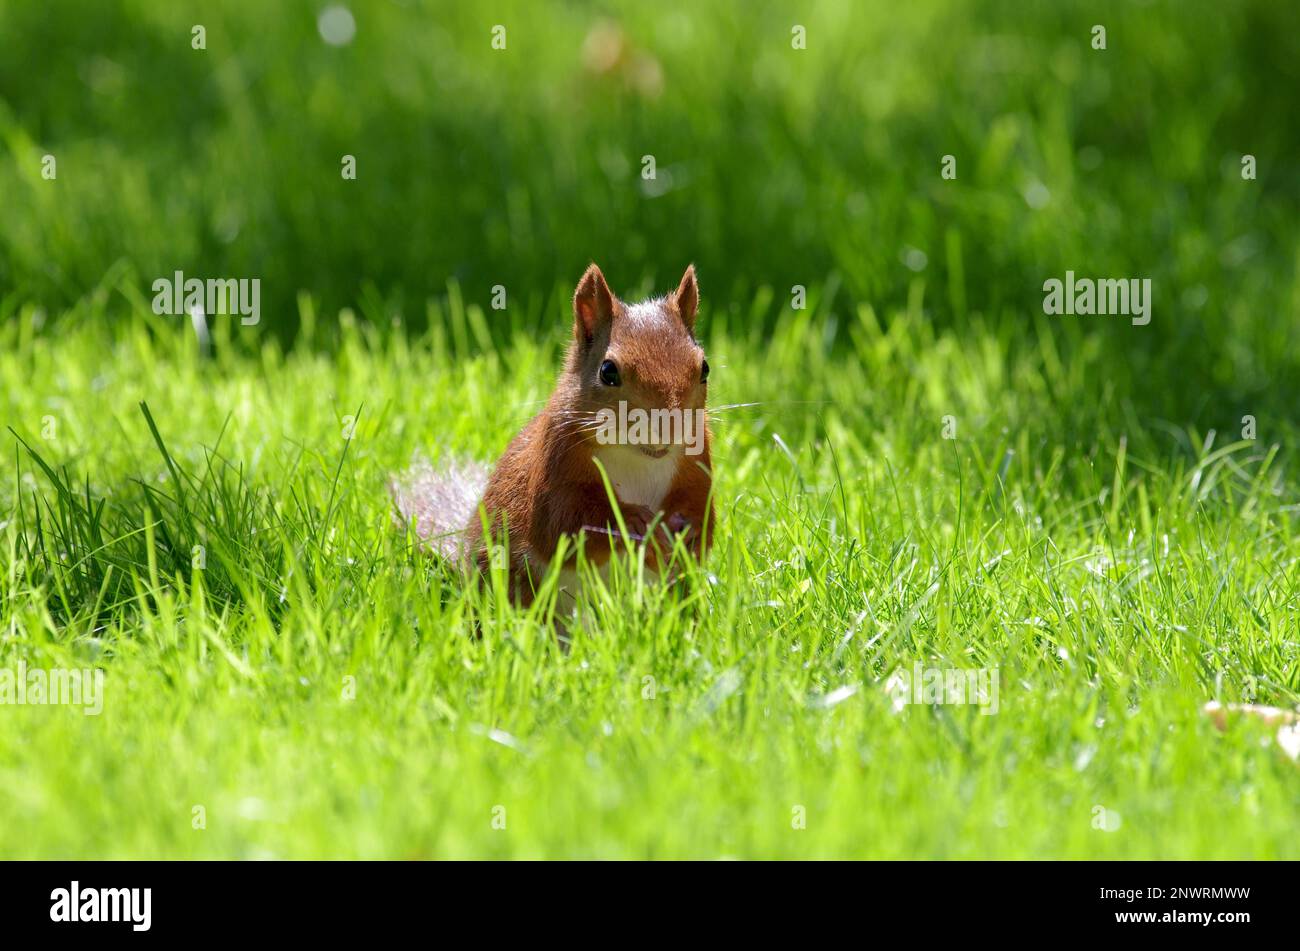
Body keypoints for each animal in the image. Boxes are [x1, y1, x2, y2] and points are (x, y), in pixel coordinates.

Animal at [391, 263, 714, 607]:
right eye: (608, 371)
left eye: (704, 368)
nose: (669, 428)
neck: (637, 457)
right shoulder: (555, 464)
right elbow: (563, 524)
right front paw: (630, 521)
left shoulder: (696, 464)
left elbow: (703, 514)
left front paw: (684, 528)